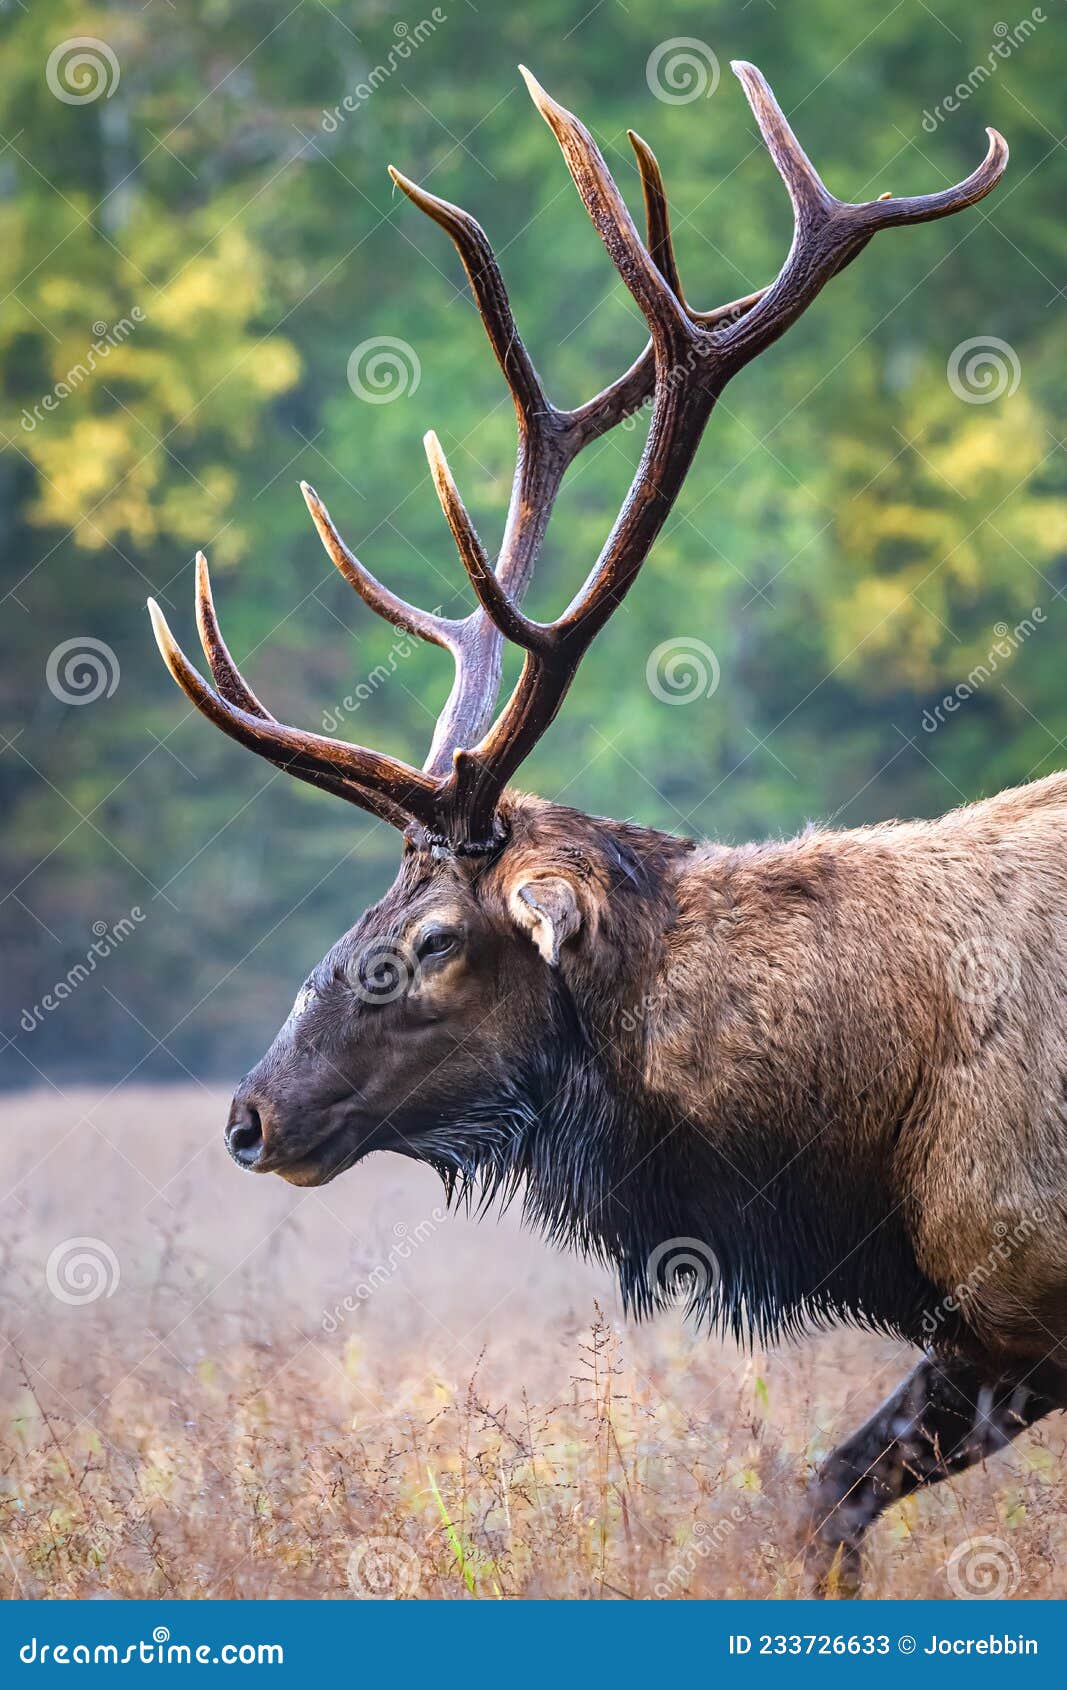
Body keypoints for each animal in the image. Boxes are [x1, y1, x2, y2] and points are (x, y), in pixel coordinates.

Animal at [148, 63, 1067, 1595]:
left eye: (433, 939)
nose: (247, 1113)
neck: (863, 1151)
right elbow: (819, 1493)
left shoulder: (1018, 1285)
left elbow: (822, 1491)